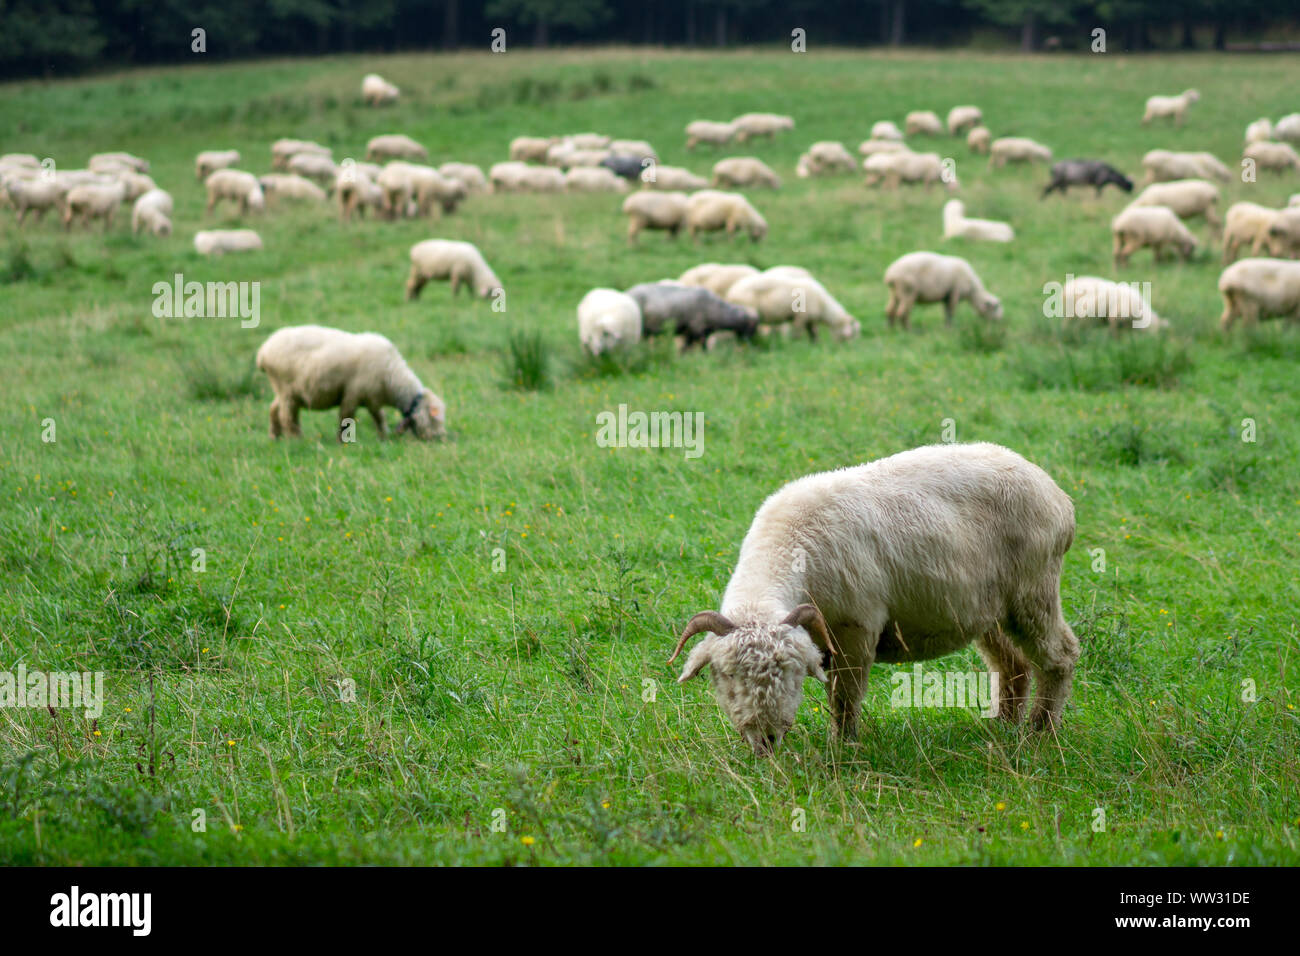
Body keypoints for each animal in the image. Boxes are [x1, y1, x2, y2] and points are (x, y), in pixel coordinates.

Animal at [256, 325, 446, 441]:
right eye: (435, 418)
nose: (441, 438)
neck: (392, 378)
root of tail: (263, 352)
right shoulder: (352, 394)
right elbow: (345, 418)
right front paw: (342, 441)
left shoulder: (372, 399)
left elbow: (379, 417)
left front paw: (383, 436)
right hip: (287, 390)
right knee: (288, 417)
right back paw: (296, 439)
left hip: (283, 391)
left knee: (273, 409)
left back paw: (274, 436)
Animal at [625, 282, 760, 348]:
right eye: (753, 326)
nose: (749, 343)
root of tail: (628, 292)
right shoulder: (696, 329)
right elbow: (701, 347)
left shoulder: (695, 332)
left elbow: (687, 347)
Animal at [668, 441, 1078, 753]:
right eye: (728, 675)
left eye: (793, 674)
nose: (766, 740)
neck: (788, 544)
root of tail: (1060, 499)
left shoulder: (855, 629)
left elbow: (844, 699)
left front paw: (842, 748)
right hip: (989, 609)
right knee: (1013, 665)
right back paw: (1002, 728)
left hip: (1033, 591)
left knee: (1061, 656)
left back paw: (1040, 733)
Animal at [725, 271, 859, 341]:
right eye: (852, 333)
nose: (850, 348)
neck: (823, 306)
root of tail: (731, 293)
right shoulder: (801, 317)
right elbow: (797, 333)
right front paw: (796, 344)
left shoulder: (810, 320)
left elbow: (813, 333)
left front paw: (815, 344)